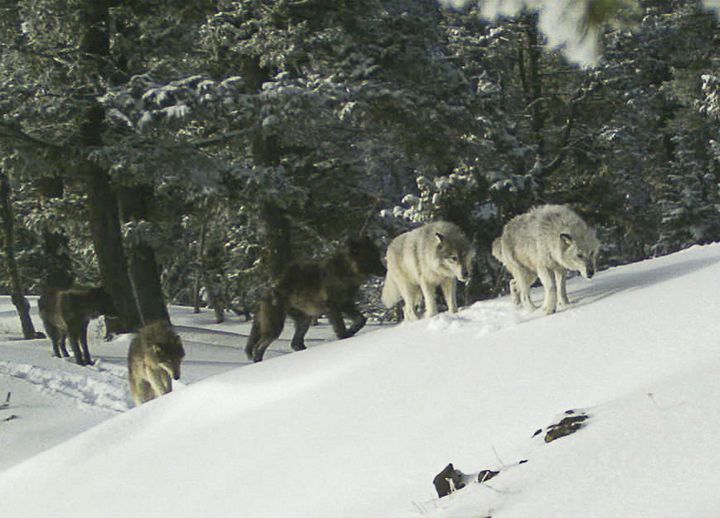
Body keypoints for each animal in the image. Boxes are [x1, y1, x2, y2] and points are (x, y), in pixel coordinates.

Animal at [245, 237, 386, 363]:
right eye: (372, 257)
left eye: (378, 256)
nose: (386, 270)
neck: (346, 271)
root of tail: (265, 291)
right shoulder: (333, 306)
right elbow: (341, 327)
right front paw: (345, 337)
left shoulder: (346, 304)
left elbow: (361, 320)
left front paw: (351, 332)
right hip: (275, 327)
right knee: (258, 347)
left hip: (304, 320)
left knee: (295, 344)